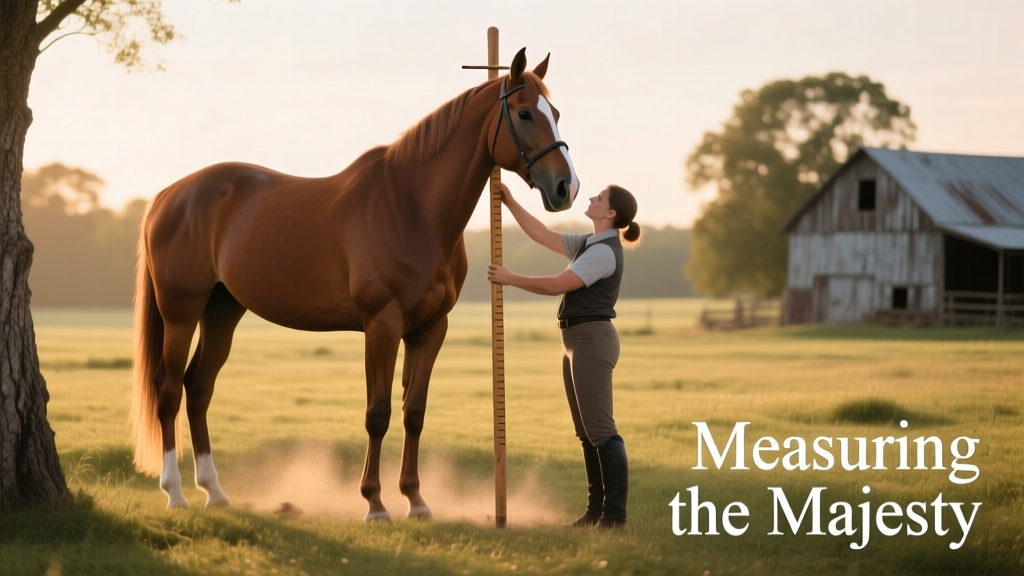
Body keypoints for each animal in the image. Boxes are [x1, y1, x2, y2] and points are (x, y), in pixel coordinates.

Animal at [129, 48, 579, 521]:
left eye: (556, 113)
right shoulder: (382, 325)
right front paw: (375, 503)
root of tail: (169, 196)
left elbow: (413, 413)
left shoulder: (429, 329)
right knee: (168, 391)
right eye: (525, 113)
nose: (566, 187)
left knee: (198, 388)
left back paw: (214, 491)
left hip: (222, 310)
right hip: (181, 311)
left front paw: (416, 500)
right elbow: (377, 414)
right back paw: (175, 493)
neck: (412, 208)